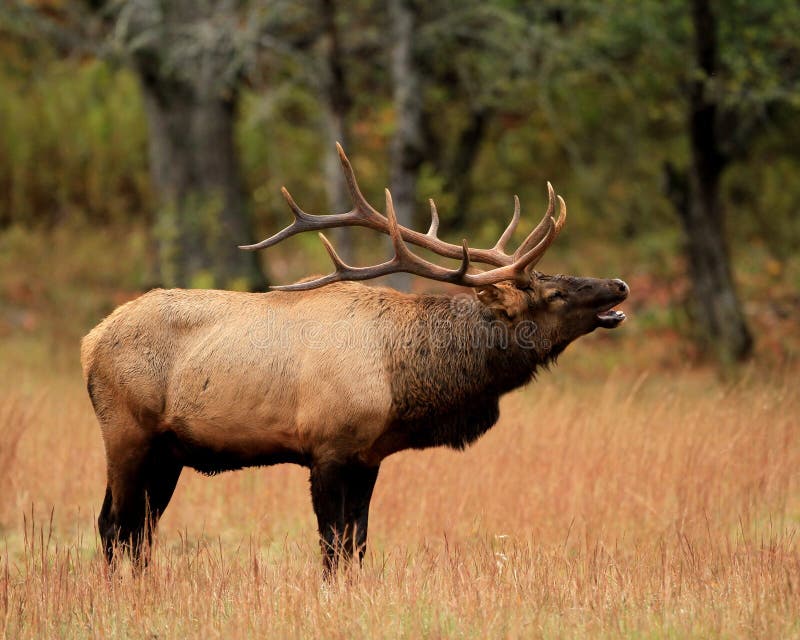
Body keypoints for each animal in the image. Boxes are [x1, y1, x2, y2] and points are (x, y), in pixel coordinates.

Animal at [81, 144, 628, 576]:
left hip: (168, 452)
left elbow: (356, 545)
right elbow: (331, 546)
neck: (400, 382)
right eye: (555, 292)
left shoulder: (368, 456)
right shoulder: (326, 446)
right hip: (126, 432)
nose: (619, 285)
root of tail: (89, 342)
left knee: (140, 529)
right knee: (113, 524)